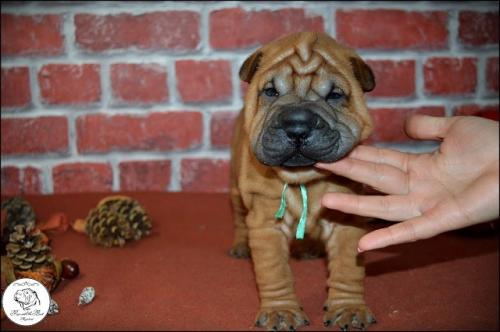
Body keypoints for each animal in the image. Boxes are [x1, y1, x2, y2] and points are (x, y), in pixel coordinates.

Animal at [229, 30, 376, 330]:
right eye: (271, 91)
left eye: (334, 95)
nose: (297, 126)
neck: (304, 179)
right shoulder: (266, 224)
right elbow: (274, 271)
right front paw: (280, 312)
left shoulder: (348, 222)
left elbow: (348, 268)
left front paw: (349, 309)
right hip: (236, 192)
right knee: (239, 217)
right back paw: (240, 245)